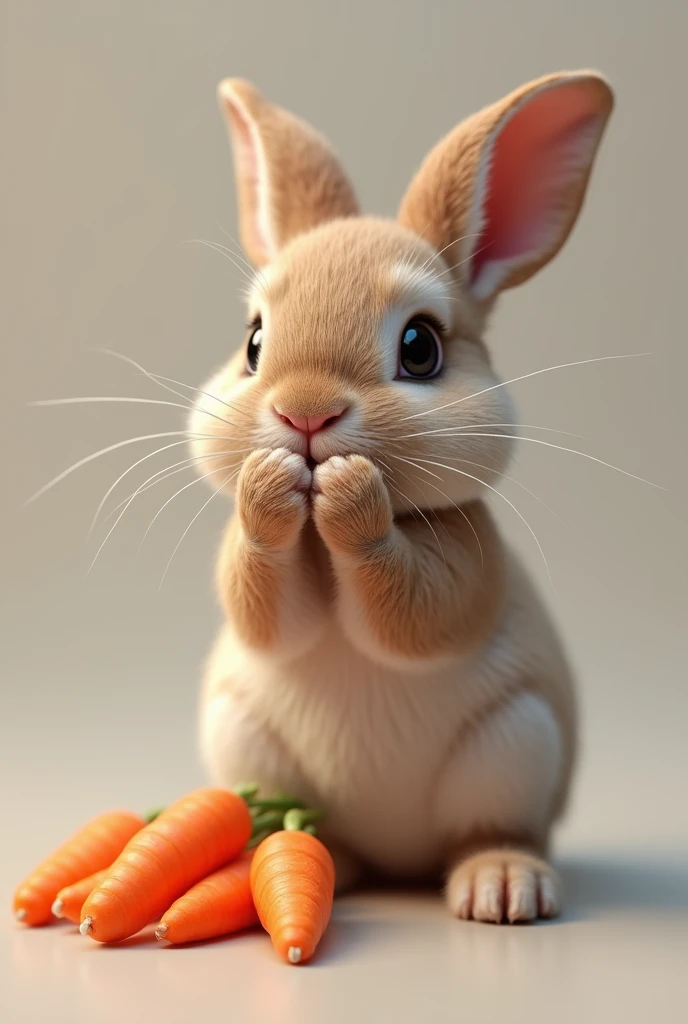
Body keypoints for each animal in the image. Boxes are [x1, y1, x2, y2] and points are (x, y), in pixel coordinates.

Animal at [189, 71, 613, 923]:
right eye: (254, 342)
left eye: (421, 347)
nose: (305, 413)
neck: (317, 540)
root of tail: (397, 858)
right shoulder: (260, 592)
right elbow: (263, 600)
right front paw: (269, 485)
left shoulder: (462, 557)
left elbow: (409, 605)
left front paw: (351, 490)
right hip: (246, 738)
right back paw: (325, 863)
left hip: (516, 744)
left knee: (487, 834)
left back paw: (501, 886)